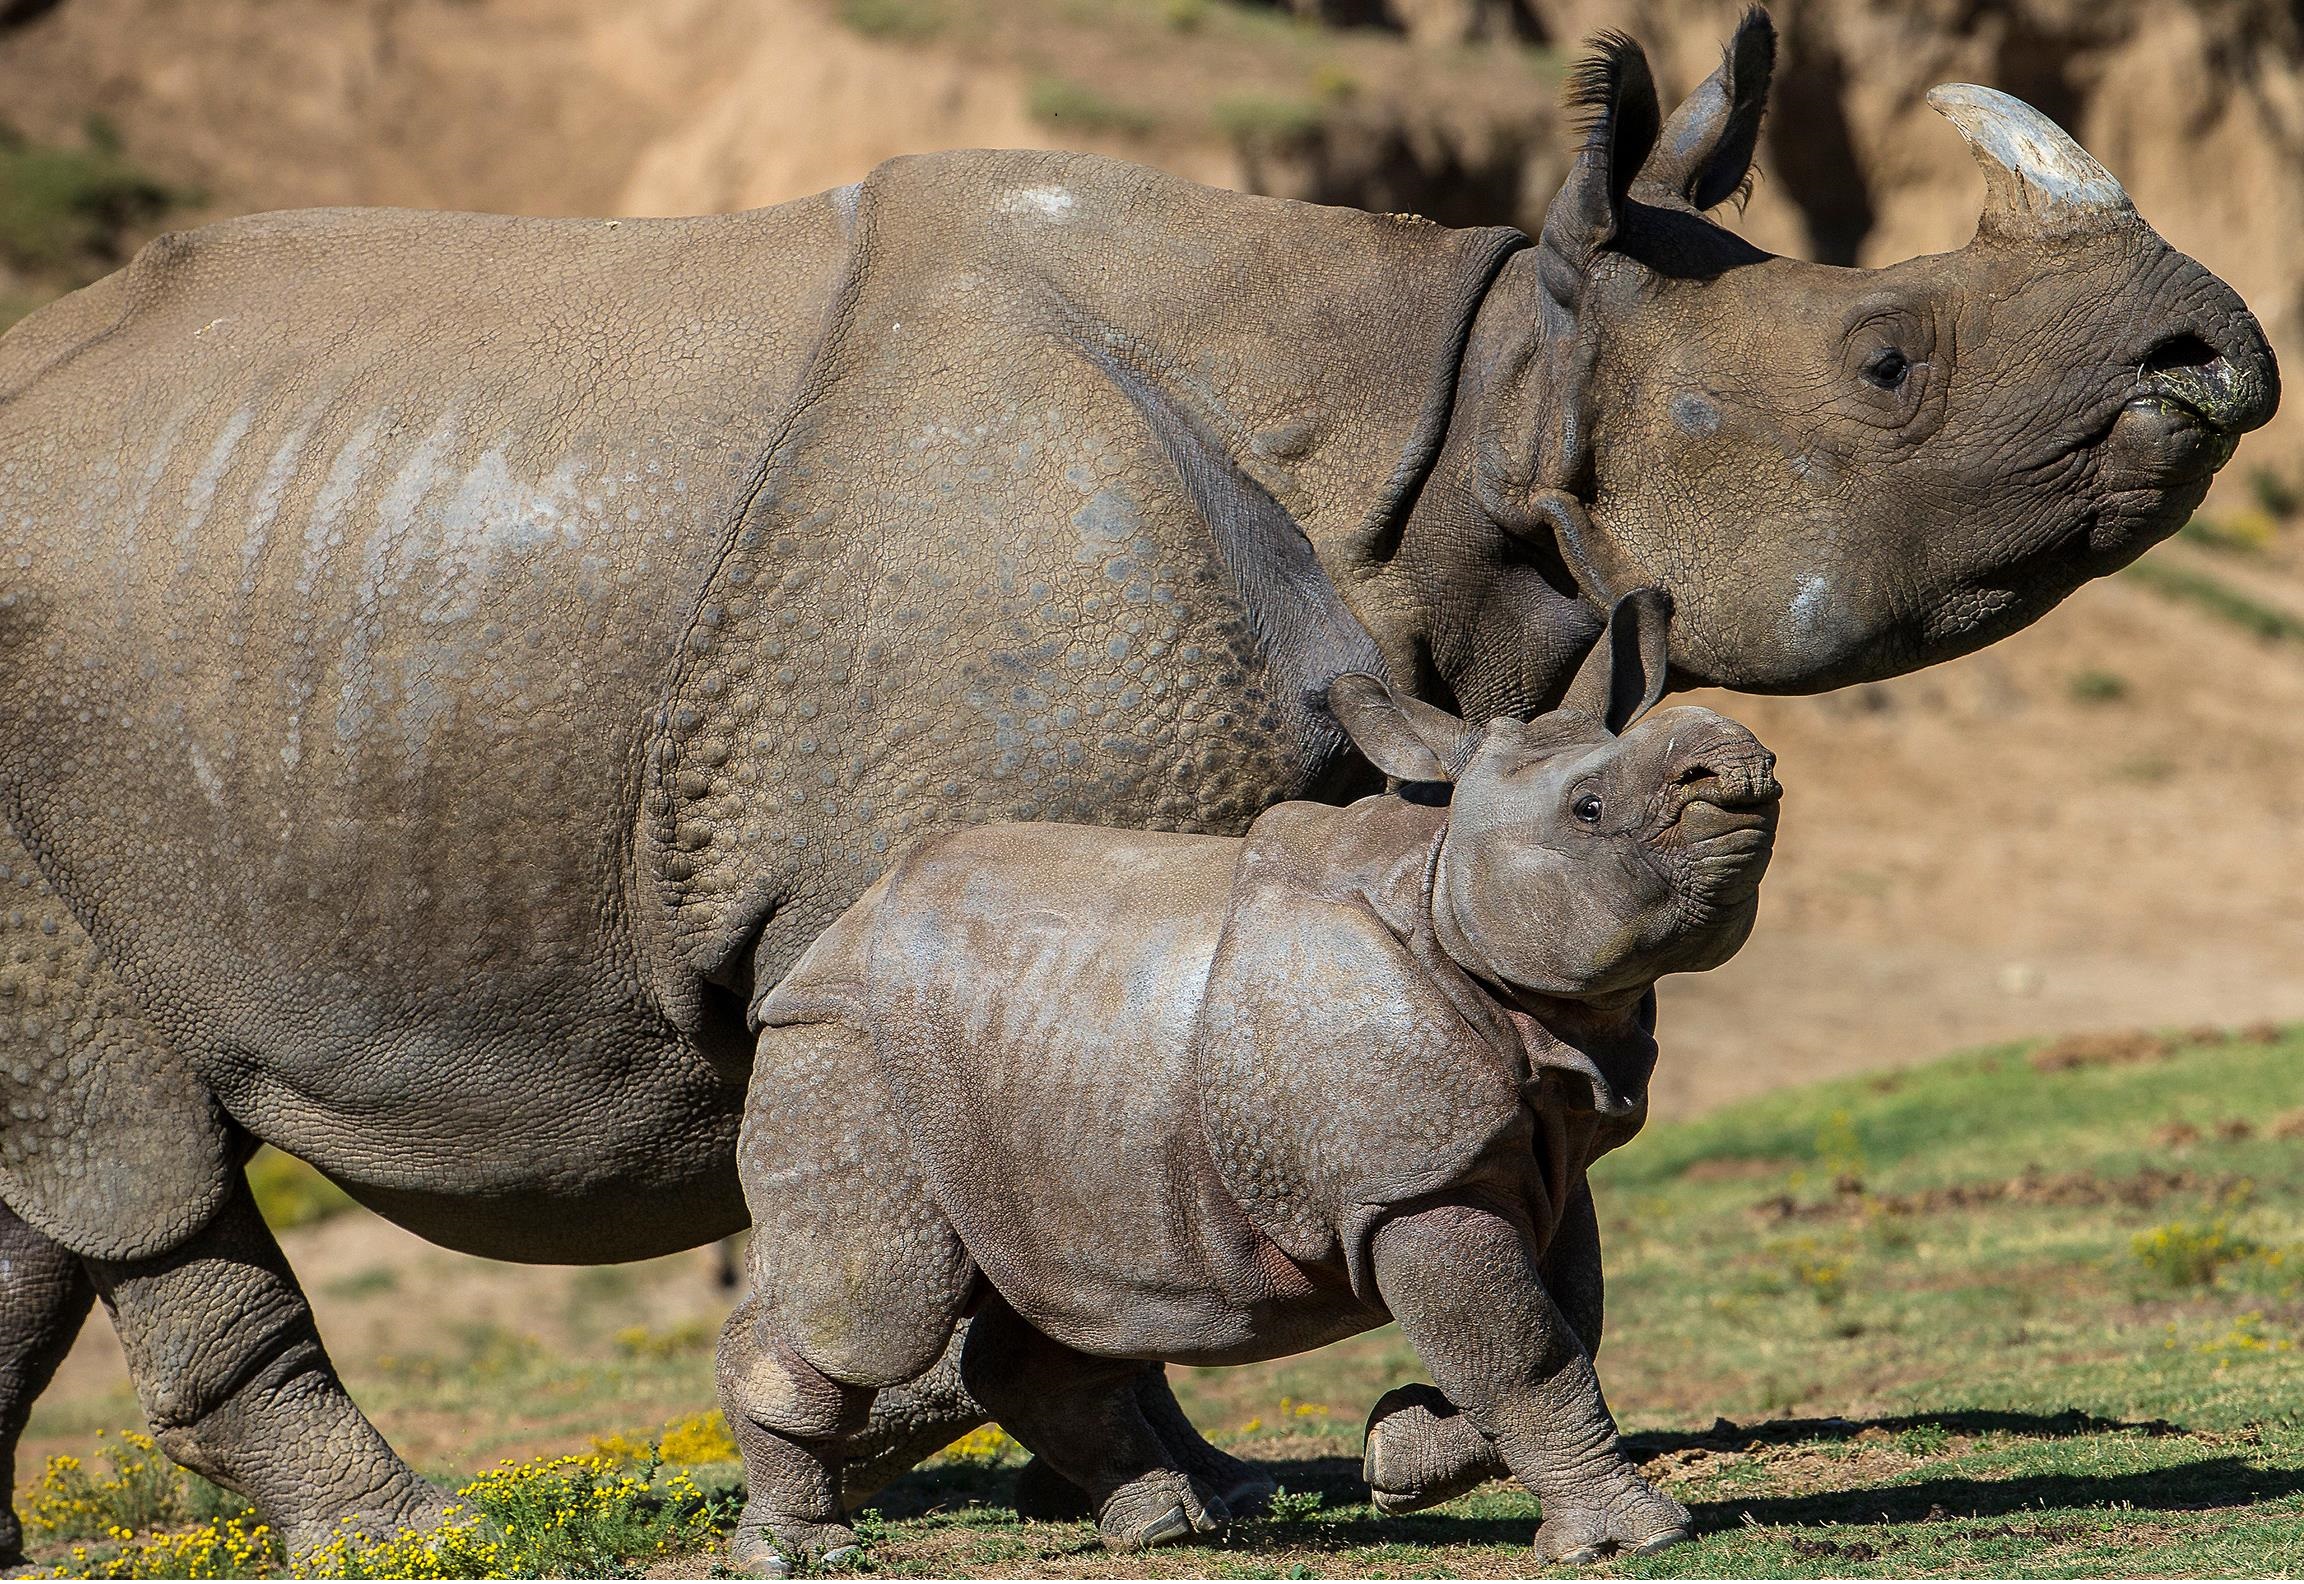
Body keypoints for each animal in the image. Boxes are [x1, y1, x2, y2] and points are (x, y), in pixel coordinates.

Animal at [720, 596, 1779, 1571]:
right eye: (1588, 810)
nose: (1739, 763)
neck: (1443, 883)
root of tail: (831, 935)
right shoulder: (1415, 1176)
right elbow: (1525, 1351)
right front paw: (1633, 1538)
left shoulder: (1529, 1140)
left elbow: (1562, 1328)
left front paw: (1397, 1455)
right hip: (847, 1045)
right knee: (875, 1313)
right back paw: (799, 1553)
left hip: (1027, 1072)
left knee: (1064, 1295)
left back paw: (1164, 1528)